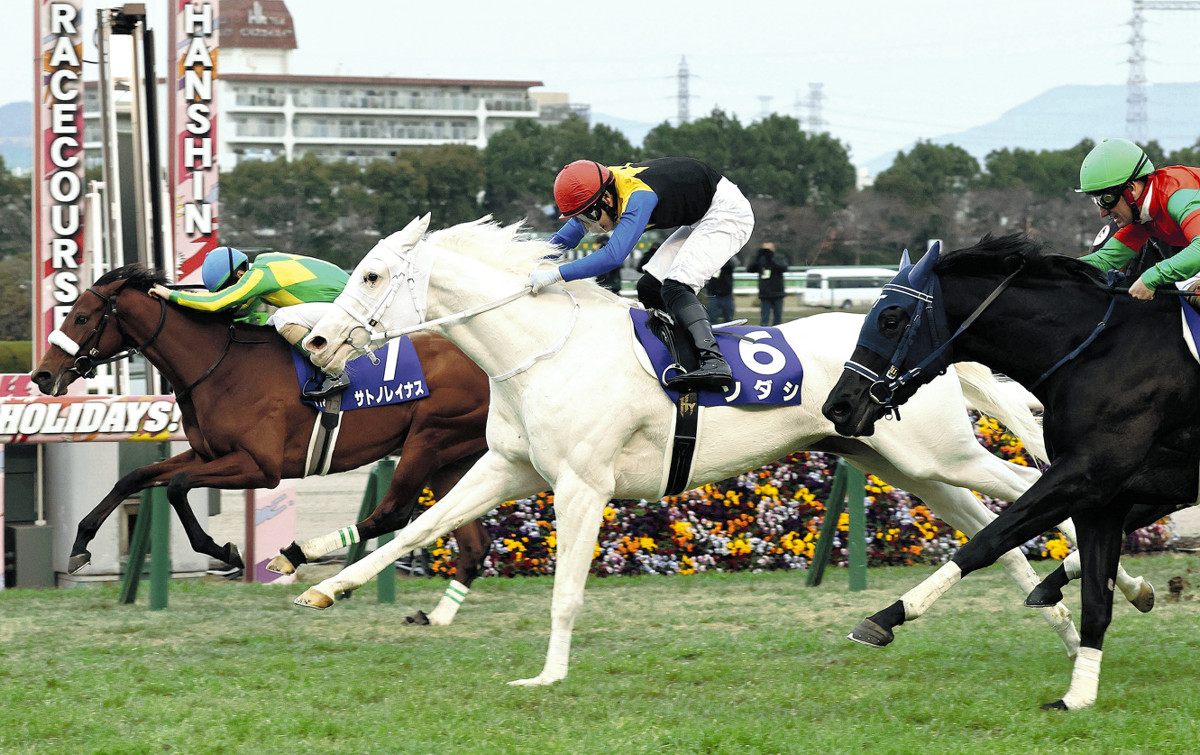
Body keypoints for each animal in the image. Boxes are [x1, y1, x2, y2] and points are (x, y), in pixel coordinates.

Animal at [29, 264, 492, 625]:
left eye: (82, 318)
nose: (42, 376)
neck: (219, 366)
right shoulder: (208, 453)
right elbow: (134, 477)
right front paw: (80, 546)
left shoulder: (260, 467)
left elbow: (177, 486)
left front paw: (223, 550)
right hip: (453, 457)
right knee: (471, 543)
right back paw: (435, 615)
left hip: (429, 439)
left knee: (395, 513)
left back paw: (298, 556)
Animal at [292, 215, 1146, 686]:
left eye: (372, 273)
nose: (317, 341)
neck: (544, 348)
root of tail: (932, 345)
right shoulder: (508, 466)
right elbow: (416, 526)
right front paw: (323, 585)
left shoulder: (581, 483)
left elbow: (565, 589)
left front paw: (548, 673)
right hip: (902, 464)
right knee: (990, 530)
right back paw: (1067, 617)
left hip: (940, 456)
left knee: (1035, 489)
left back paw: (1117, 581)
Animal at [821, 233, 1197, 710]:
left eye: (890, 319)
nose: (838, 405)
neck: (1098, 351)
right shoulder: (1104, 492)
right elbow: (1096, 596)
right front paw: (1078, 696)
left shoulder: (1087, 473)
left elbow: (988, 540)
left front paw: (889, 615)